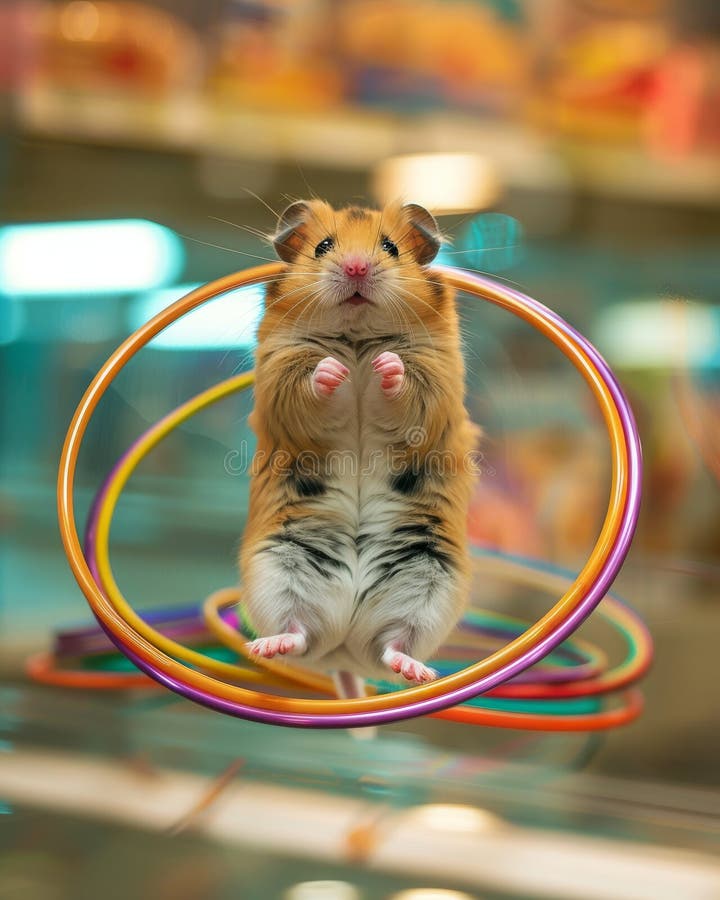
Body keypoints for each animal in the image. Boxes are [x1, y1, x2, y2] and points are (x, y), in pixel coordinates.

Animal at [240, 199, 477, 684]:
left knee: (392, 647)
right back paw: (267, 645)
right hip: (277, 567)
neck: (357, 338)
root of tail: (344, 653)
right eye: (322, 246)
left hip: (431, 581)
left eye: (390, 247)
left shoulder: (433, 377)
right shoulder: (282, 373)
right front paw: (335, 370)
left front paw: (385, 365)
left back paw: (417, 671)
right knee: (300, 635)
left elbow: (404, 389)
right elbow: (312, 384)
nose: (355, 267)